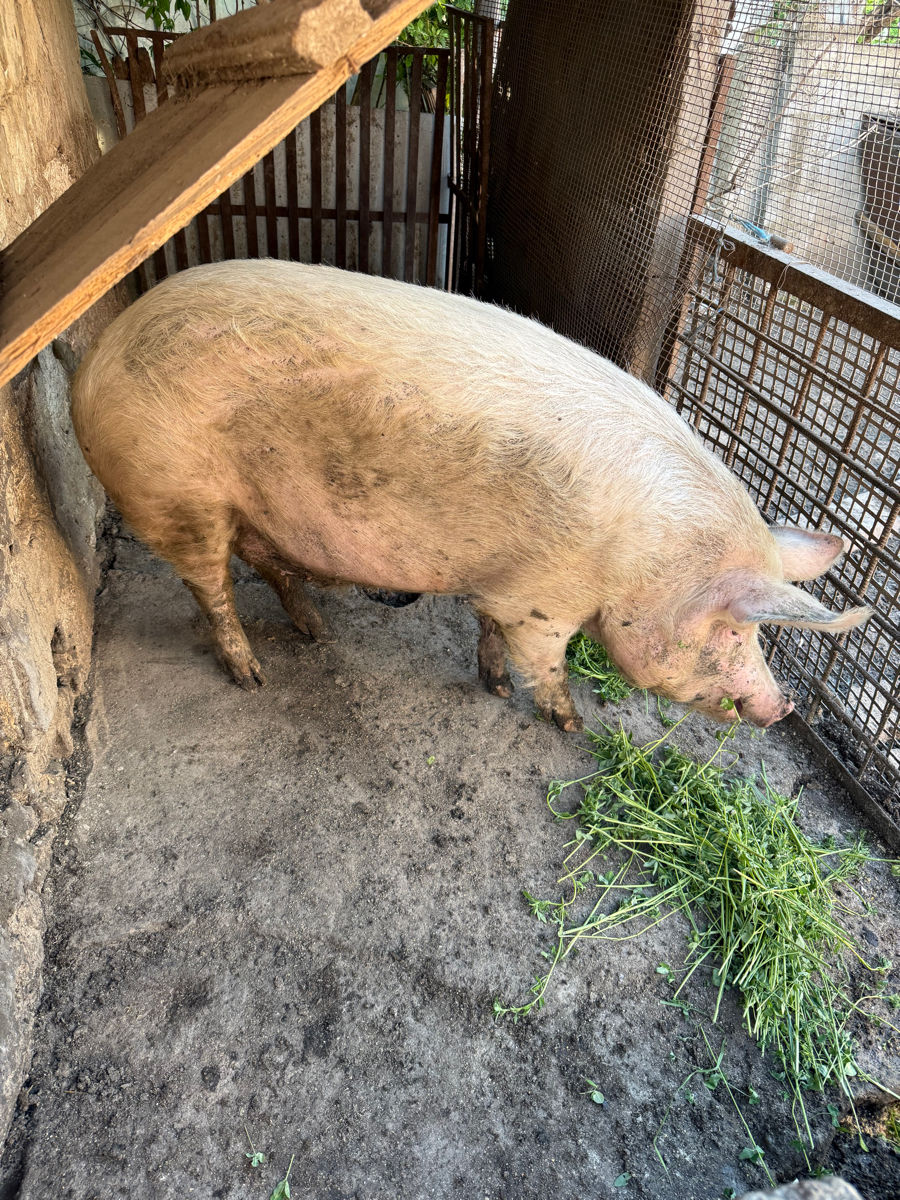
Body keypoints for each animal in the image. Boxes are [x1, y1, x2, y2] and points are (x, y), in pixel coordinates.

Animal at [71, 260, 869, 731]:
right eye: (736, 633)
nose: (783, 704)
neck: (647, 564)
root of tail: (93, 360)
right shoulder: (545, 600)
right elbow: (545, 663)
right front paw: (569, 724)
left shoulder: (504, 584)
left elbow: (485, 627)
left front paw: (493, 689)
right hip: (175, 494)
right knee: (210, 588)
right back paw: (252, 679)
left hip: (252, 510)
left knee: (270, 567)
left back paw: (317, 633)